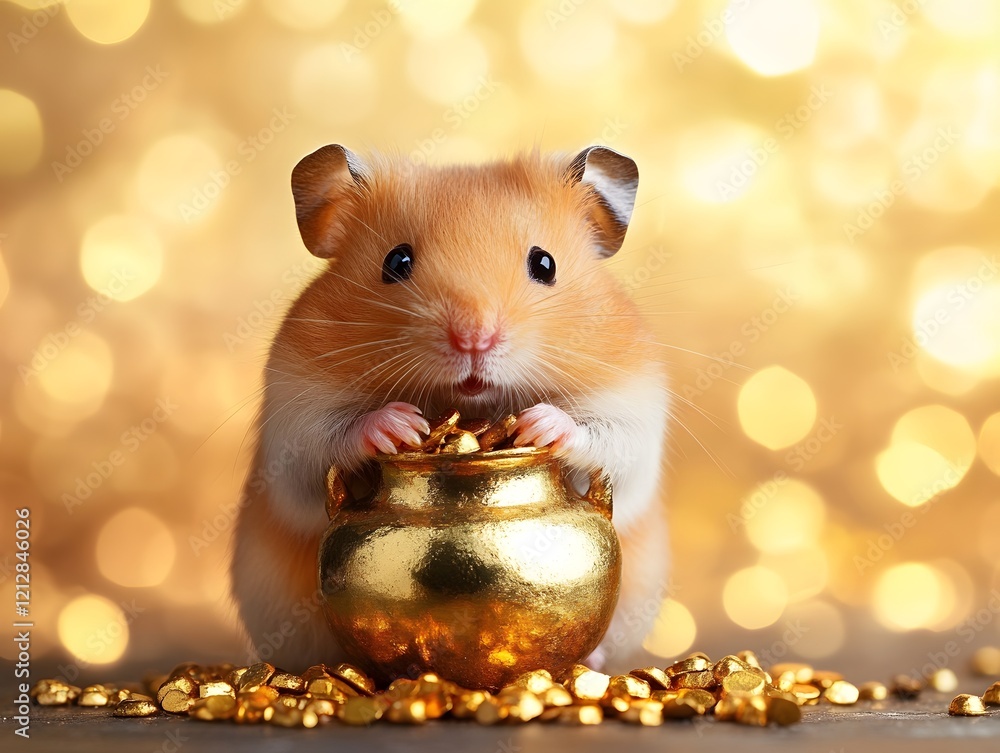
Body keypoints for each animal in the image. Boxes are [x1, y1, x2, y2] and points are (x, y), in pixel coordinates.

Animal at [230, 144, 670, 672]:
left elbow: (608, 438)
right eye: (396, 261)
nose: (474, 339)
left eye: (545, 264)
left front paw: (537, 425)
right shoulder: (293, 412)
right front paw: (400, 426)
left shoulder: (634, 405)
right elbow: (326, 441)